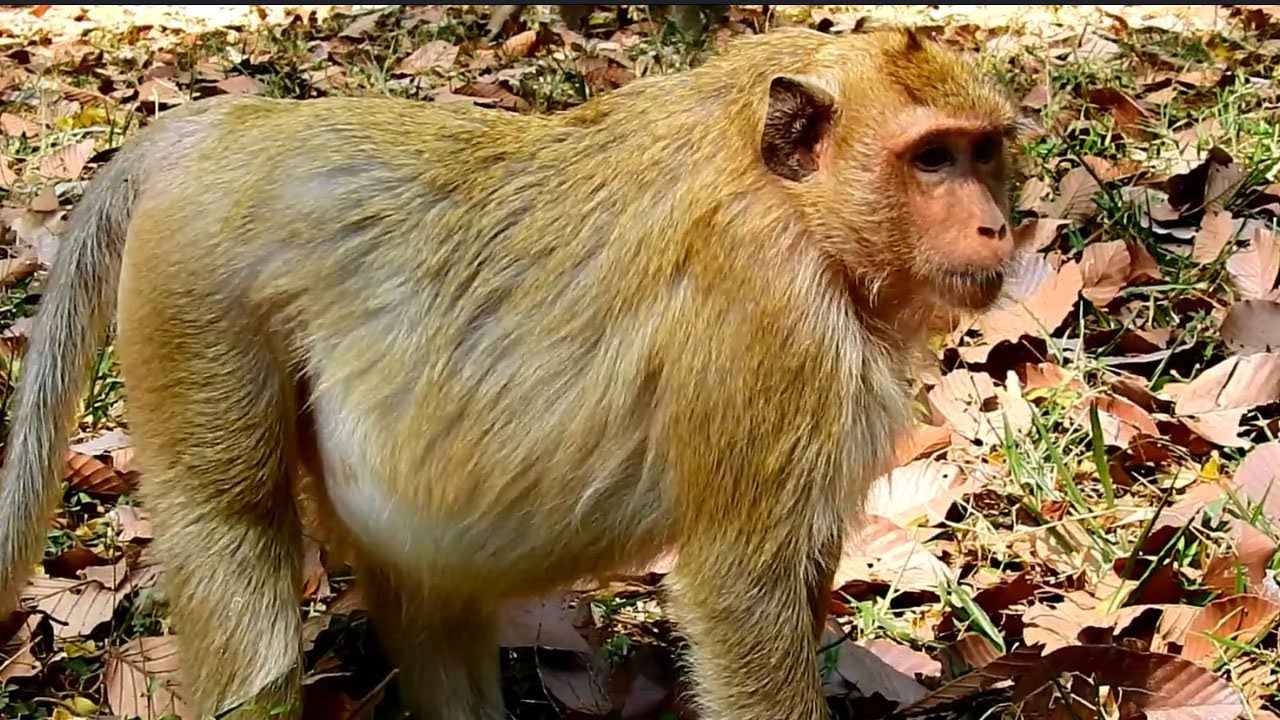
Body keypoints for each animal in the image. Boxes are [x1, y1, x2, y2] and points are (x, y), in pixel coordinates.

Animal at [0, 26, 1018, 720]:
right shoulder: (773, 329)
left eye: (983, 152)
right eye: (932, 158)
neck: (793, 203)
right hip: (199, 302)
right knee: (232, 532)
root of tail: (233, 124)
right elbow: (741, 593)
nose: (998, 225)